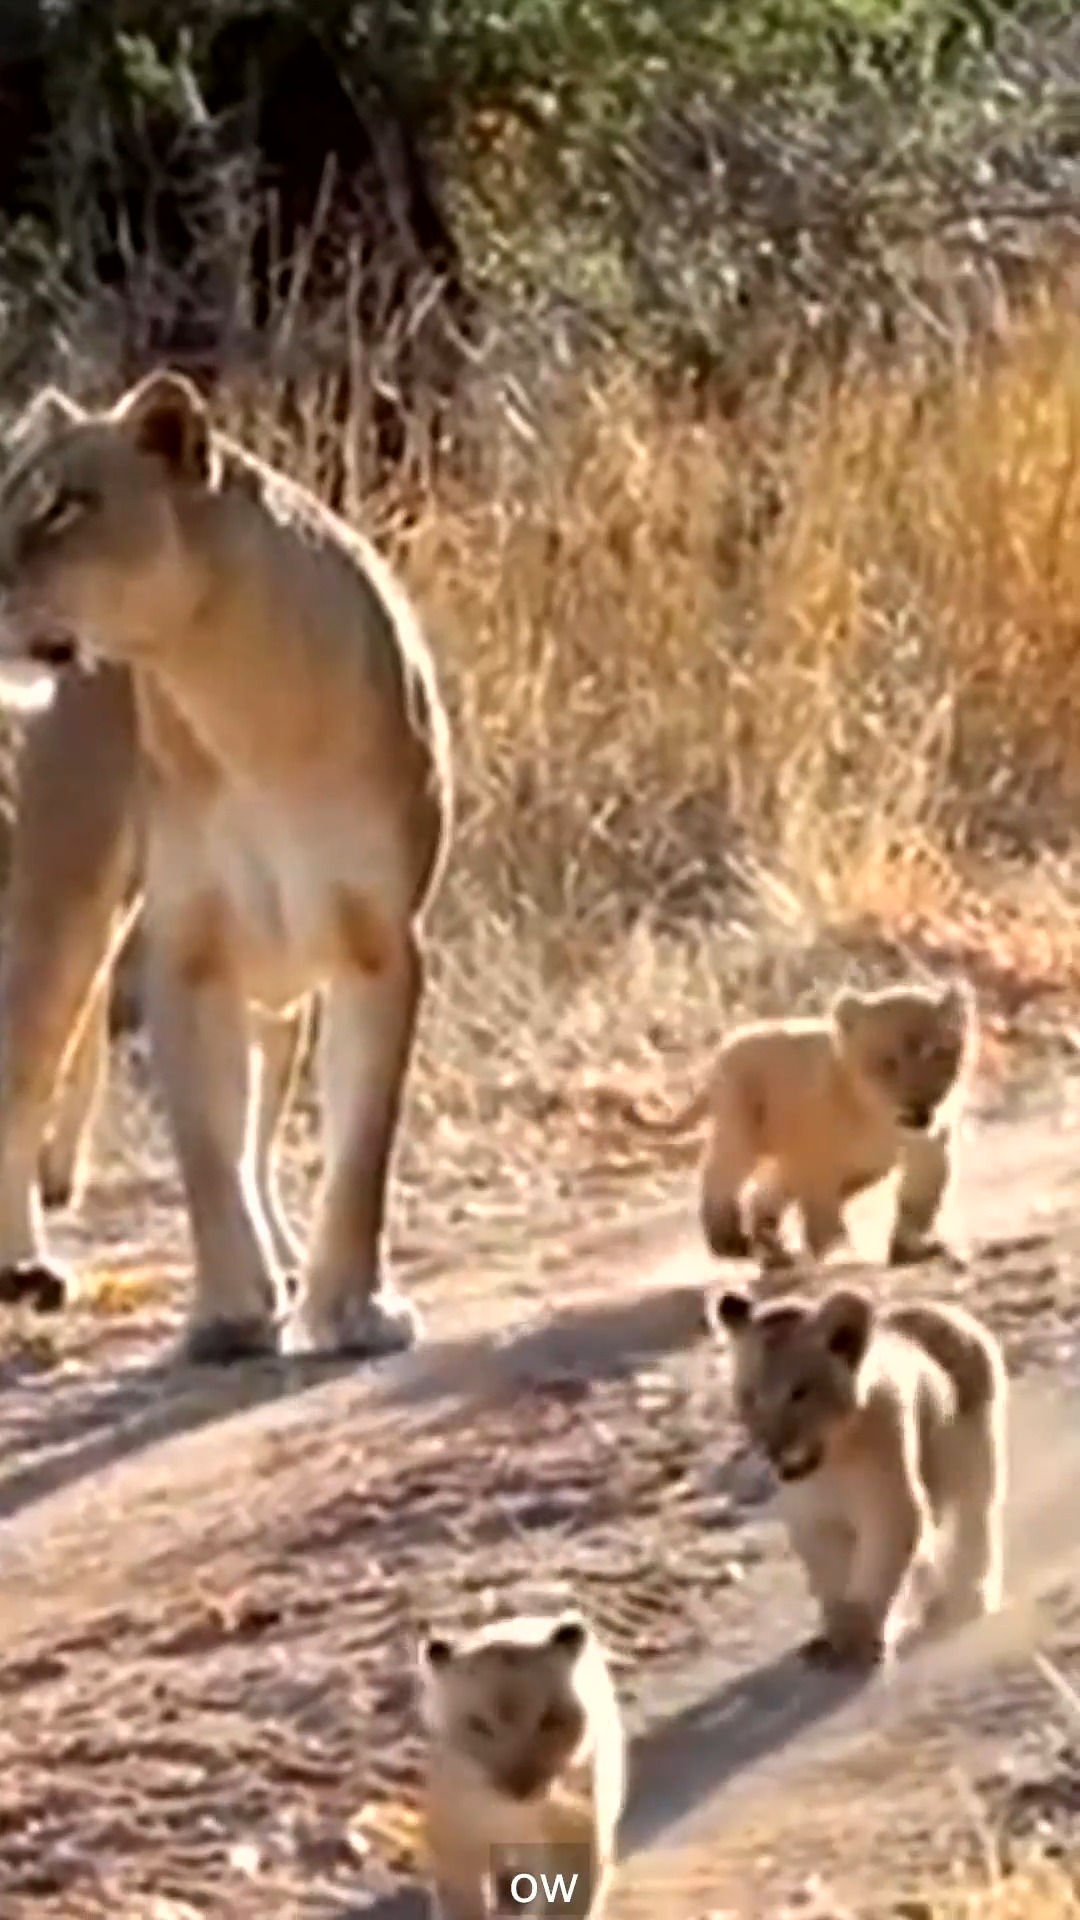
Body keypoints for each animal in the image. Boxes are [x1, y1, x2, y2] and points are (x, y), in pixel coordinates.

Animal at [0, 368, 451, 1362]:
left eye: (63, 507)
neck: (235, 696)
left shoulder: (379, 942)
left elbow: (358, 1142)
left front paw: (349, 1307)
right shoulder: (190, 946)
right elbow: (206, 1147)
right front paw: (232, 1315)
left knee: (264, 1121)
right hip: (65, 907)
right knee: (22, 1073)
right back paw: (24, 1270)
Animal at [612, 980, 976, 1271]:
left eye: (939, 1053)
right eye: (887, 1062)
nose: (919, 1111)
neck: (880, 1120)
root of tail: (728, 1044)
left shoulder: (931, 1149)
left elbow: (920, 1201)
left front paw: (912, 1249)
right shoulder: (817, 1159)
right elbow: (822, 1211)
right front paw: (839, 1254)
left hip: (856, 1169)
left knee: (763, 1194)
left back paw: (775, 1250)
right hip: (742, 1130)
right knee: (719, 1175)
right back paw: (729, 1240)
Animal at [711, 1282, 1007, 1669]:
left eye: (800, 1392)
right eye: (748, 1396)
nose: (771, 1447)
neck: (831, 1468)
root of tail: (932, 1307)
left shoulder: (890, 1508)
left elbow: (877, 1572)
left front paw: (860, 1638)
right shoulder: (815, 1521)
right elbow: (833, 1578)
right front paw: (833, 1637)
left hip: (977, 1464)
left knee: (977, 1525)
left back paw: (969, 1598)